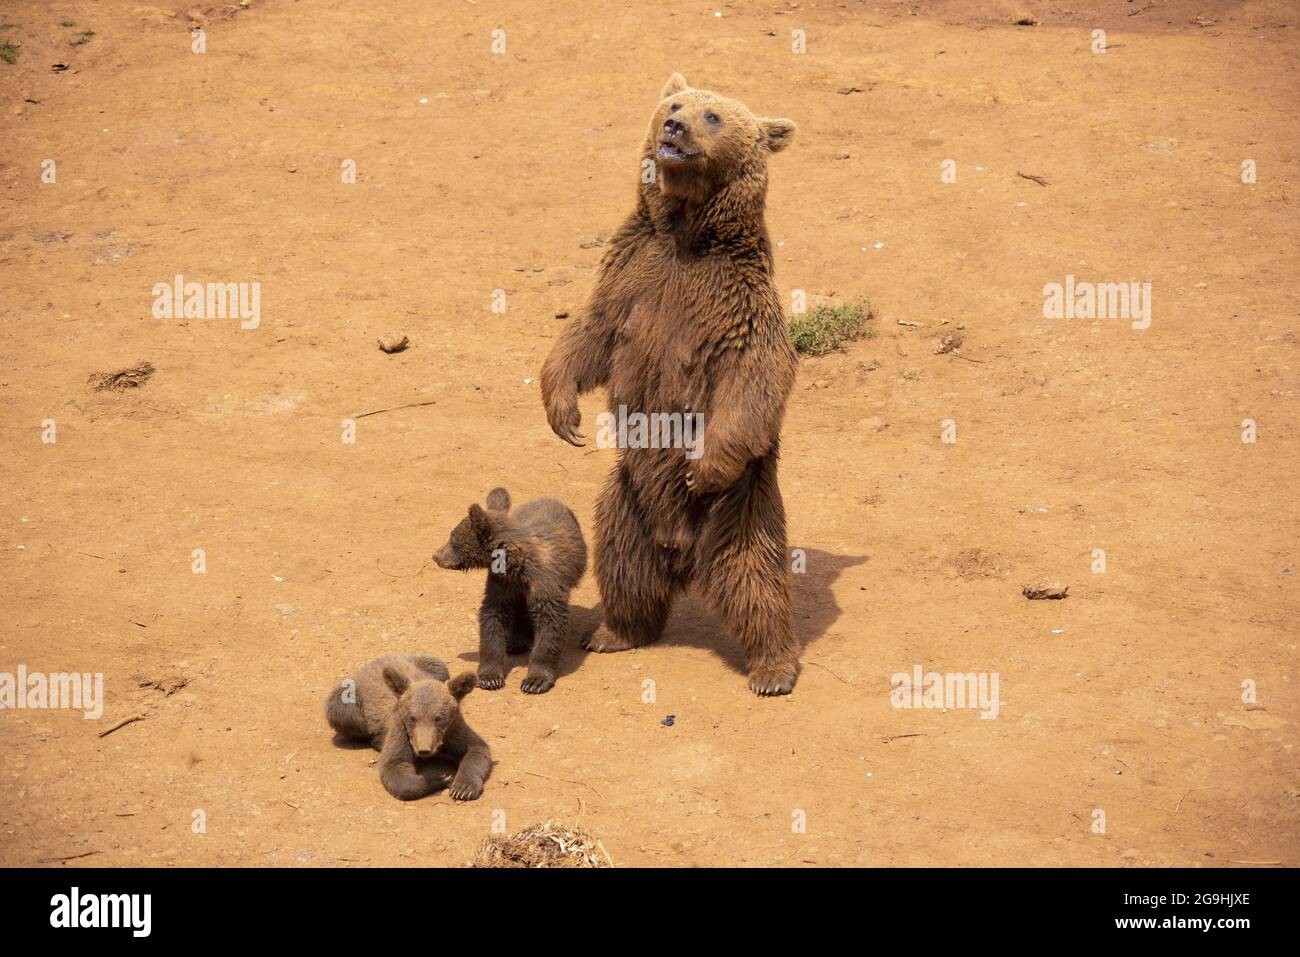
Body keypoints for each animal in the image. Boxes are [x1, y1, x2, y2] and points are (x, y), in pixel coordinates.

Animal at [325, 654, 490, 801]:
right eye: (412, 718)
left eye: (439, 718)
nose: (424, 750)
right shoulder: (402, 730)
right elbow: (394, 766)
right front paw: (439, 778)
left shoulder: (454, 728)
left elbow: (477, 748)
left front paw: (463, 788)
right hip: (349, 698)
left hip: (429, 664)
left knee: (438, 665)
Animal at [433, 487, 587, 695]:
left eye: (452, 538)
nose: (436, 556)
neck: (516, 567)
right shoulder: (501, 584)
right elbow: (492, 618)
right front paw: (490, 678)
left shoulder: (545, 585)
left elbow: (549, 626)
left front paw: (534, 681)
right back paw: (516, 641)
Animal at [539, 73, 801, 696]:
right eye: (675, 104)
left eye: (713, 115)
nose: (674, 127)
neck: (686, 233)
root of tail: (681, 552)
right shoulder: (634, 274)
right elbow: (589, 334)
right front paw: (563, 413)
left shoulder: (734, 301)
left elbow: (754, 375)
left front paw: (700, 467)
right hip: (627, 498)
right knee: (622, 564)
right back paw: (614, 631)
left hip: (740, 507)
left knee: (756, 578)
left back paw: (773, 668)